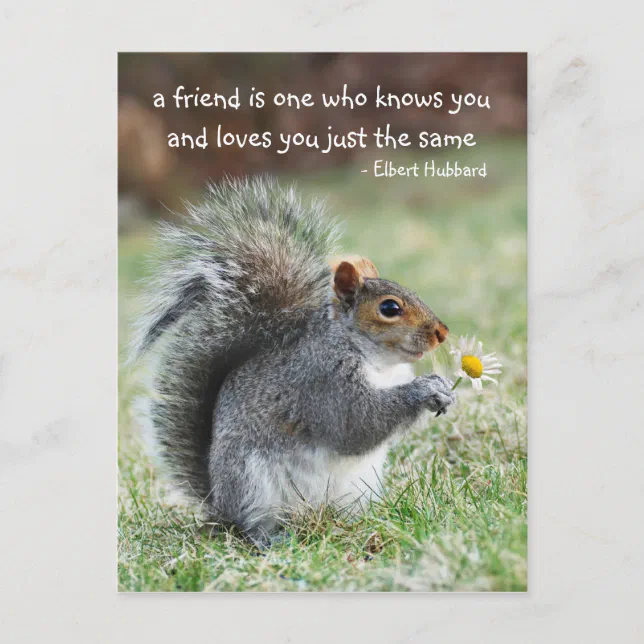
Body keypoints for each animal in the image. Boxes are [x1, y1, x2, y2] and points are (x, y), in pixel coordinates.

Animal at [131, 177, 456, 544]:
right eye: (389, 308)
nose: (442, 333)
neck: (377, 361)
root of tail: (217, 502)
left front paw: (444, 389)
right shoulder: (323, 380)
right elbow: (356, 423)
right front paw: (424, 390)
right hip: (251, 482)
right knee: (250, 525)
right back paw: (271, 539)